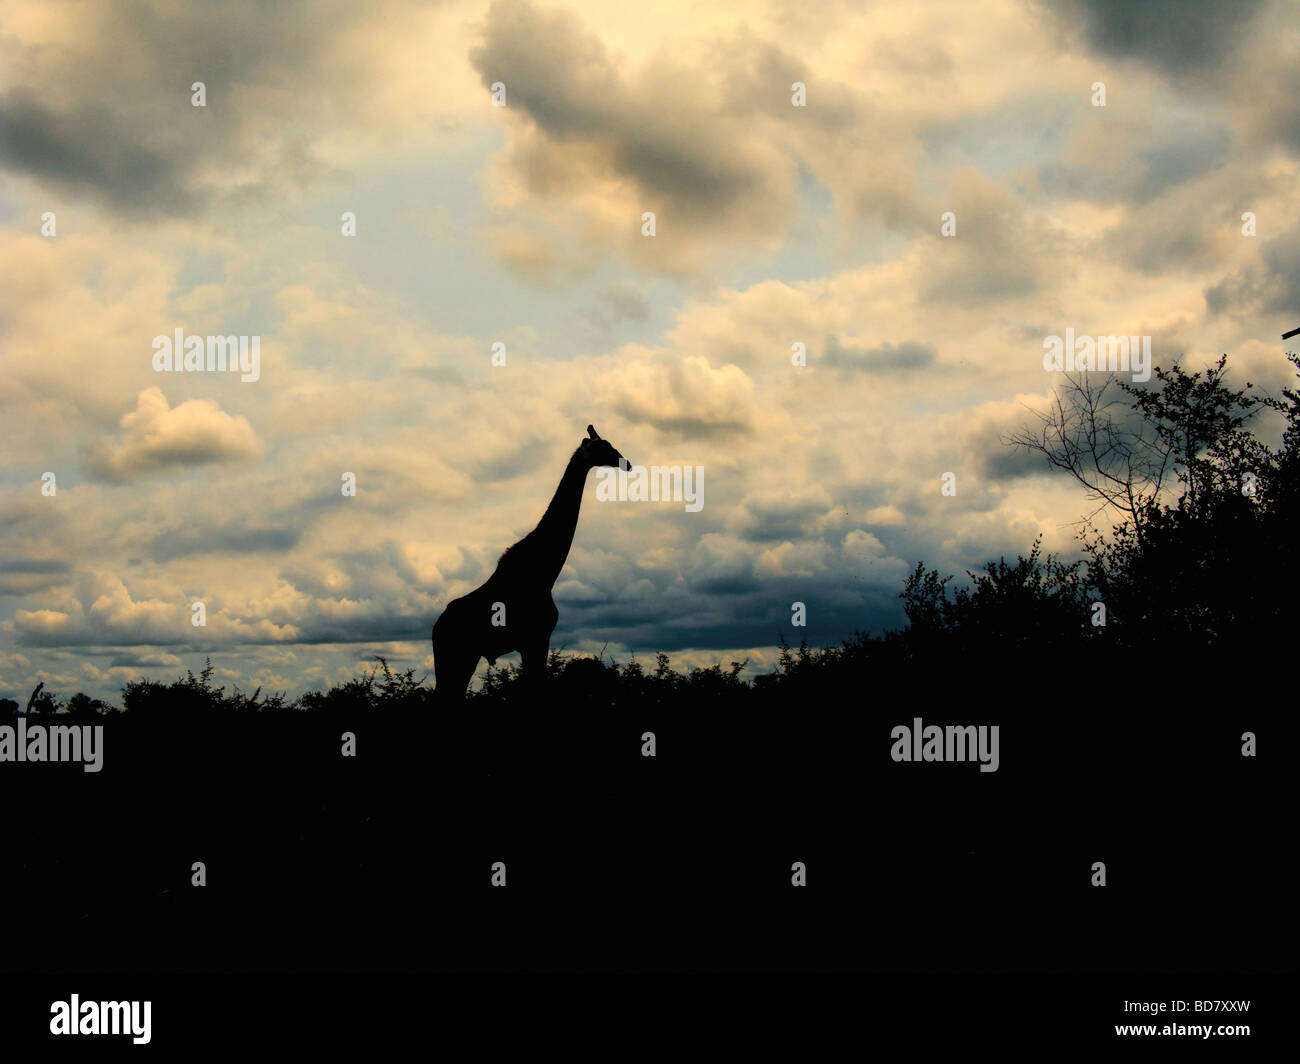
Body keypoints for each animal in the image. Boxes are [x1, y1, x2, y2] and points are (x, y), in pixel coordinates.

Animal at [431, 425, 629, 700]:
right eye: (602, 446)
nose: (626, 462)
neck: (544, 572)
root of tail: (435, 628)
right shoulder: (536, 638)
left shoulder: (532, 642)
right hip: (455, 656)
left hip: (462, 658)